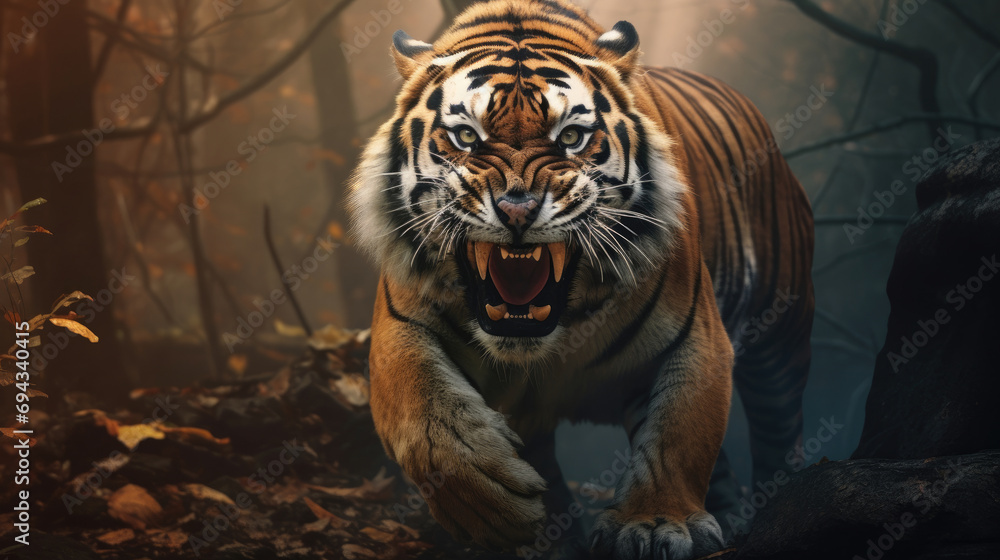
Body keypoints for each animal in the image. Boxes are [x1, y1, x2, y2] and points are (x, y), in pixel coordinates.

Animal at [348, 0, 814, 558]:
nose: (517, 209)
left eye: (570, 137)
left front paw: (657, 522)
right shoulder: (401, 325)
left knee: (780, 439)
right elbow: (422, 416)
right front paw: (492, 512)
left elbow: (679, 433)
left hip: (780, 339)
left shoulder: (694, 335)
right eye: (466, 137)